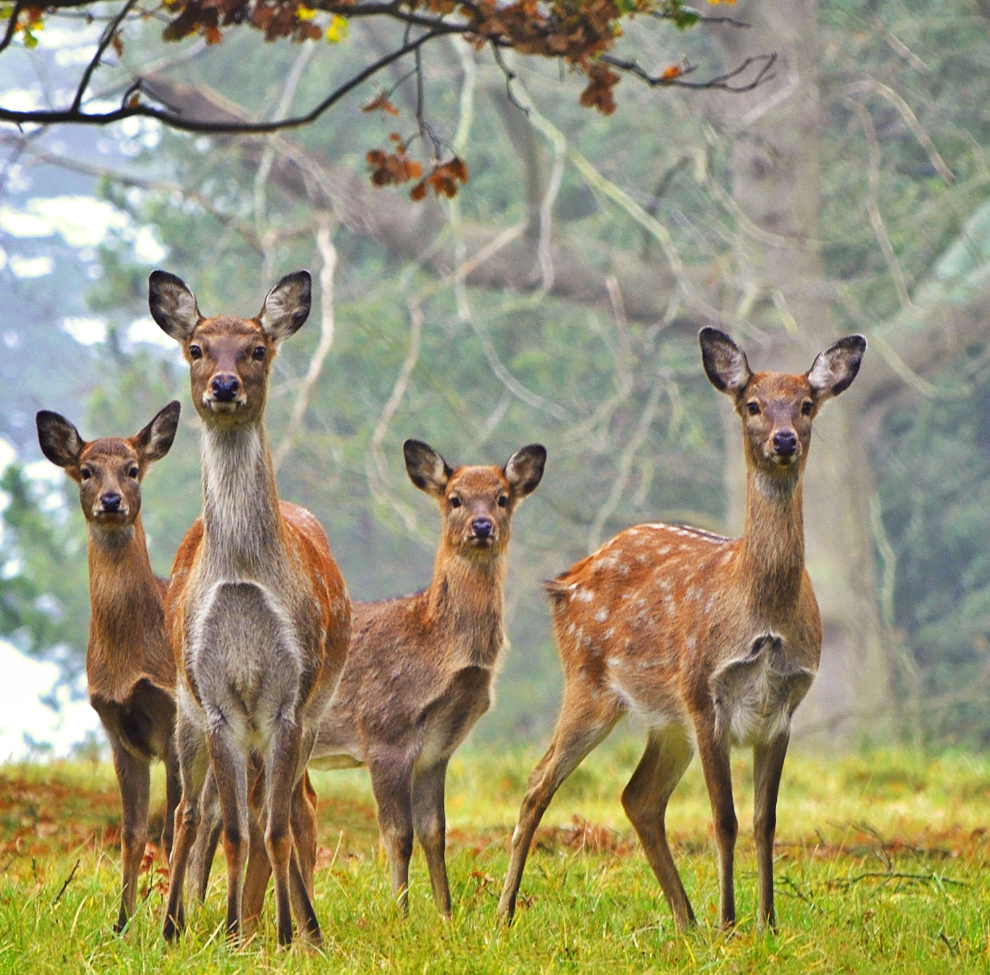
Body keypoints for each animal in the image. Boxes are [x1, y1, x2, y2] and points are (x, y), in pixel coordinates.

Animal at [36, 401, 183, 934]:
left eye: (133, 468)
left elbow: (173, 827)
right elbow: (133, 831)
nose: (112, 500)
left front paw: (172, 925)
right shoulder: (117, 730)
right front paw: (122, 924)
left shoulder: (175, 717)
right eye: (86, 470)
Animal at [148, 269, 350, 946]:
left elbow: (275, 826)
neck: (241, 578)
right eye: (196, 348)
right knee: (193, 810)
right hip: (184, 709)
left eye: (257, 349)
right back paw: (171, 924)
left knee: (292, 807)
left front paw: (284, 934)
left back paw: (306, 925)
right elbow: (235, 829)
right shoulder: (214, 699)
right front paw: (234, 931)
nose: (224, 384)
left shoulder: (290, 695)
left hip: (311, 713)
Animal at [498, 328, 866, 934]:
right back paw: (506, 911)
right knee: (538, 780)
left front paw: (767, 923)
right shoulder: (704, 692)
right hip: (590, 681)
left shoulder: (784, 707)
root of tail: (564, 581)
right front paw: (730, 923)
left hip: (665, 719)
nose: (784, 440)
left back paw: (684, 919)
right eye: (753, 405)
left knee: (638, 797)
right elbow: (726, 818)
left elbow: (766, 821)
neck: (763, 616)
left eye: (807, 405)